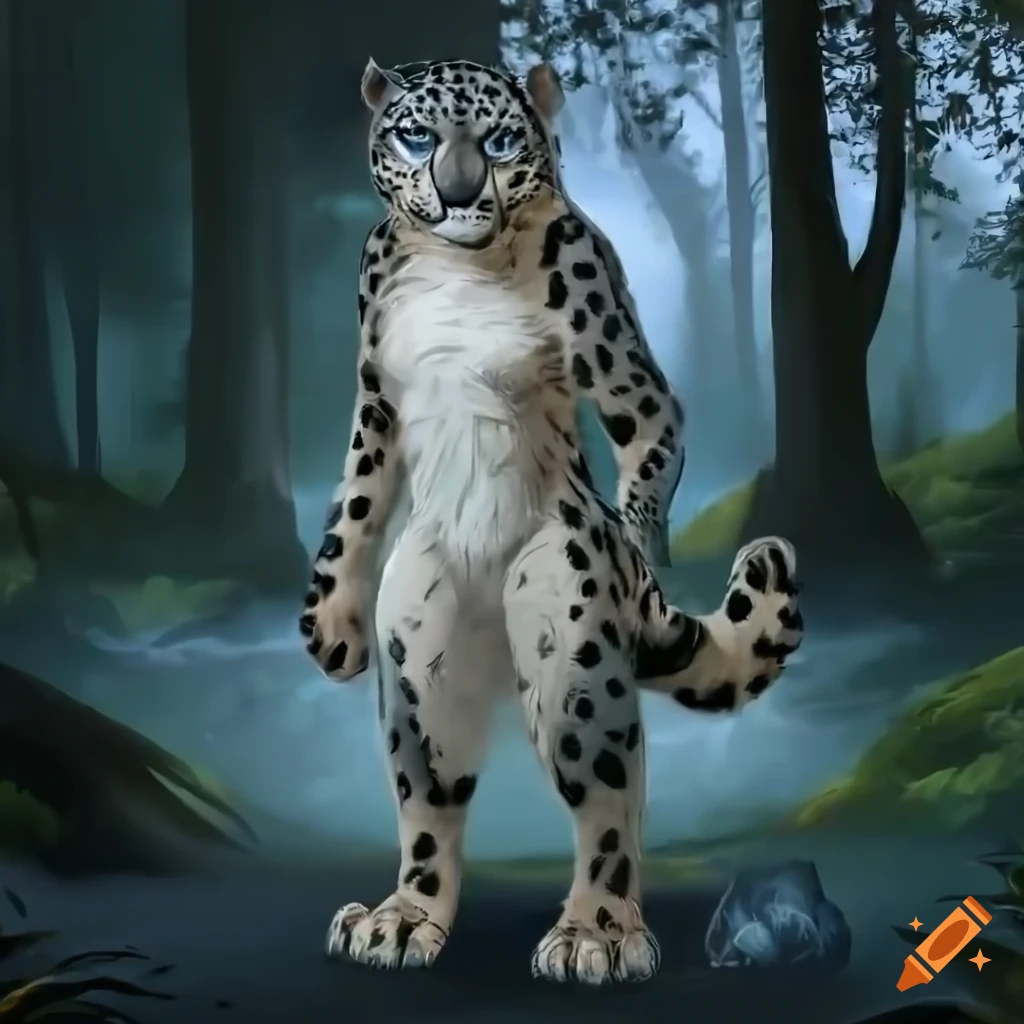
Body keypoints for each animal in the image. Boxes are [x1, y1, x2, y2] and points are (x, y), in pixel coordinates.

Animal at [300, 56, 804, 985]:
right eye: (416, 135)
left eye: (499, 139)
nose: (459, 191)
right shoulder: (375, 382)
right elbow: (357, 490)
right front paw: (328, 626)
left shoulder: (607, 331)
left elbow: (646, 423)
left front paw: (642, 548)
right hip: (417, 655)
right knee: (431, 793)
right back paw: (401, 920)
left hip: (570, 638)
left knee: (604, 794)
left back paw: (595, 936)